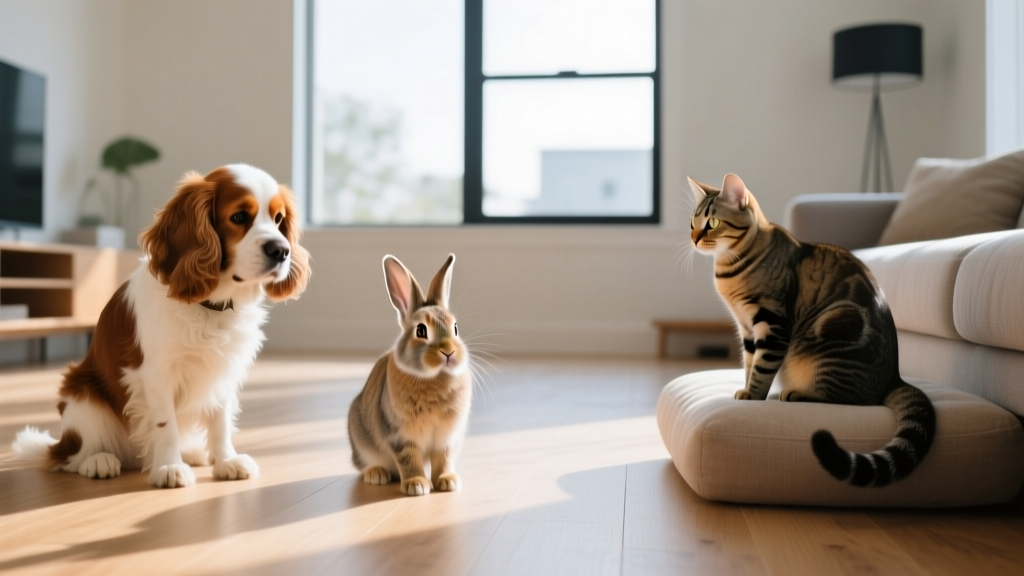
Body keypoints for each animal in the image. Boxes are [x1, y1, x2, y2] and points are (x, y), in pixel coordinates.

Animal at [347, 253, 472, 496]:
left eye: (455, 328)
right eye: (421, 331)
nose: (448, 352)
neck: (434, 376)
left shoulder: (446, 439)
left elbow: (443, 459)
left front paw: (448, 482)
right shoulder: (400, 437)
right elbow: (409, 460)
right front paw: (416, 486)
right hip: (361, 439)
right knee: (366, 463)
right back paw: (377, 474)